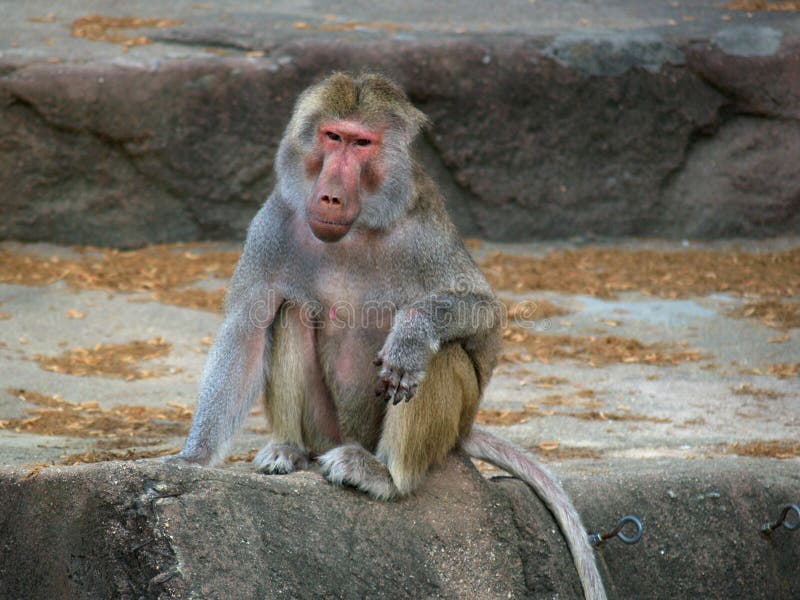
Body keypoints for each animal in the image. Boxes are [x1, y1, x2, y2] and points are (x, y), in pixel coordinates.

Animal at [166, 72, 605, 600]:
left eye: (362, 144)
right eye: (332, 137)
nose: (330, 196)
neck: (355, 229)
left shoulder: (423, 227)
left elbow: (483, 317)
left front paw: (412, 336)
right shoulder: (271, 224)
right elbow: (247, 329)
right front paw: (192, 459)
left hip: (441, 428)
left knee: (441, 356)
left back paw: (384, 474)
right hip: (327, 428)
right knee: (292, 313)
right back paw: (289, 451)